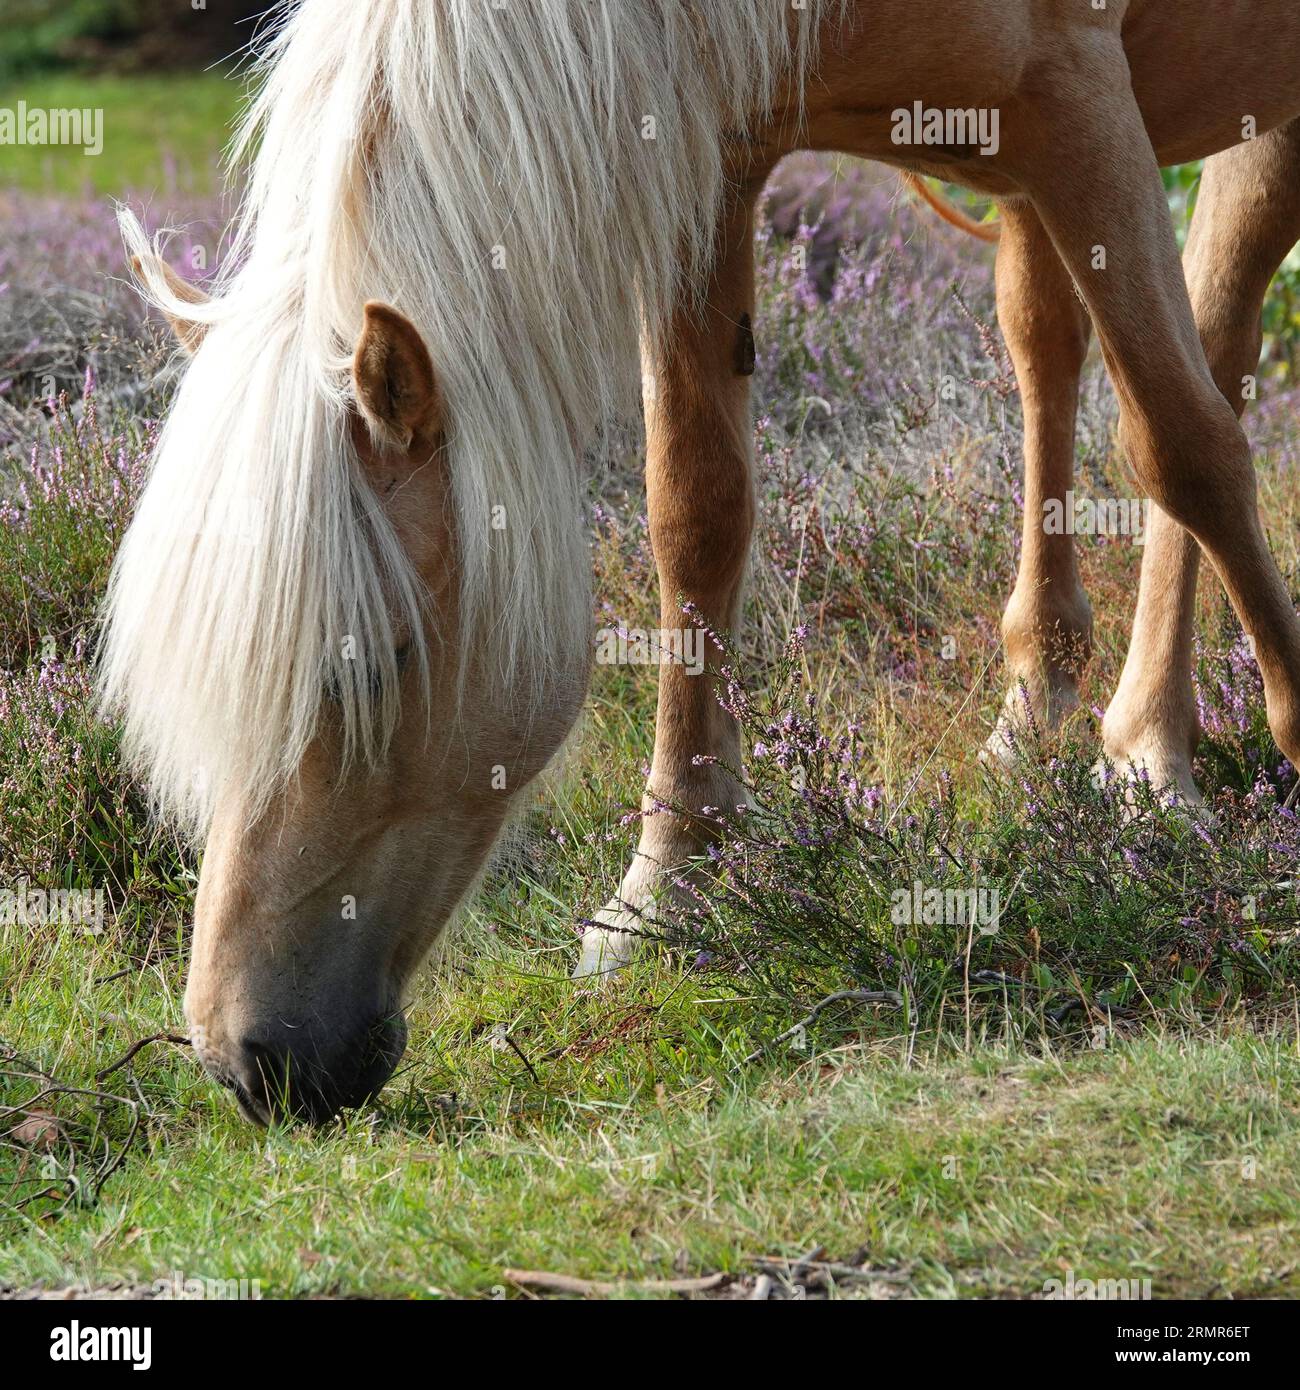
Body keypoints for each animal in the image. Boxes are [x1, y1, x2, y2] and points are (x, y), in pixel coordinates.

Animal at [102, 0, 1300, 1123]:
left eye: (382, 659)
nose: (246, 1056)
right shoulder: (710, 154)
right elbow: (695, 507)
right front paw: (665, 887)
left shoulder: (1078, 101)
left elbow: (1181, 446)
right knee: (1048, 338)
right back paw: (1041, 707)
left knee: (1208, 355)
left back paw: (1149, 754)